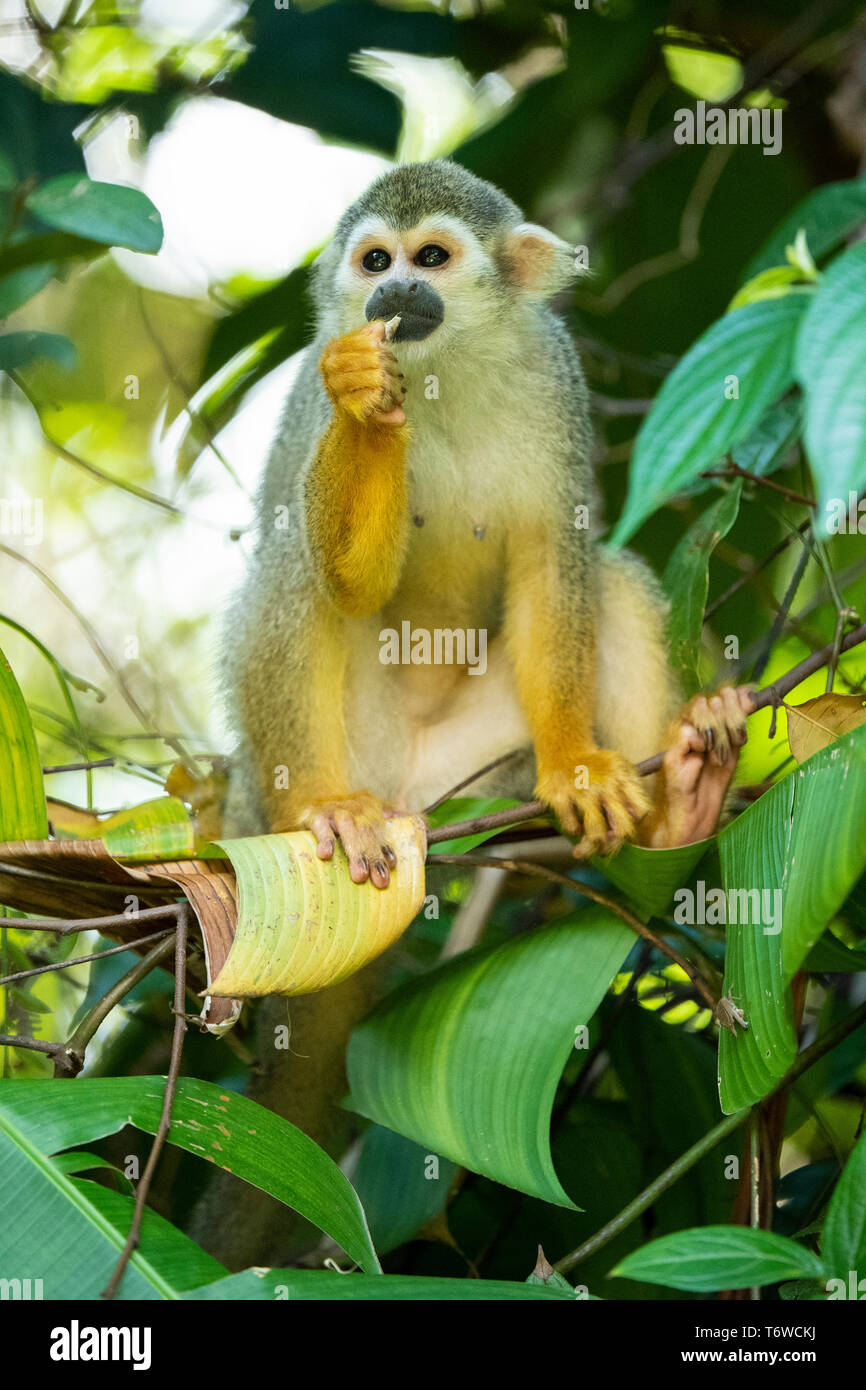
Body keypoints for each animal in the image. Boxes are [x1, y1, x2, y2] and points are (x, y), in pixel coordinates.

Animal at [192, 161, 753, 1267]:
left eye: (431, 258)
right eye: (374, 261)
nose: (394, 293)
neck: (442, 367)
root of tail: (412, 800)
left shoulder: (554, 379)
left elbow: (554, 557)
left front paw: (577, 765)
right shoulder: (311, 385)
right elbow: (343, 576)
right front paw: (365, 405)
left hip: (476, 776)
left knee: (607, 575)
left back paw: (682, 802)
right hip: (330, 765)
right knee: (294, 570)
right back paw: (321, 807)